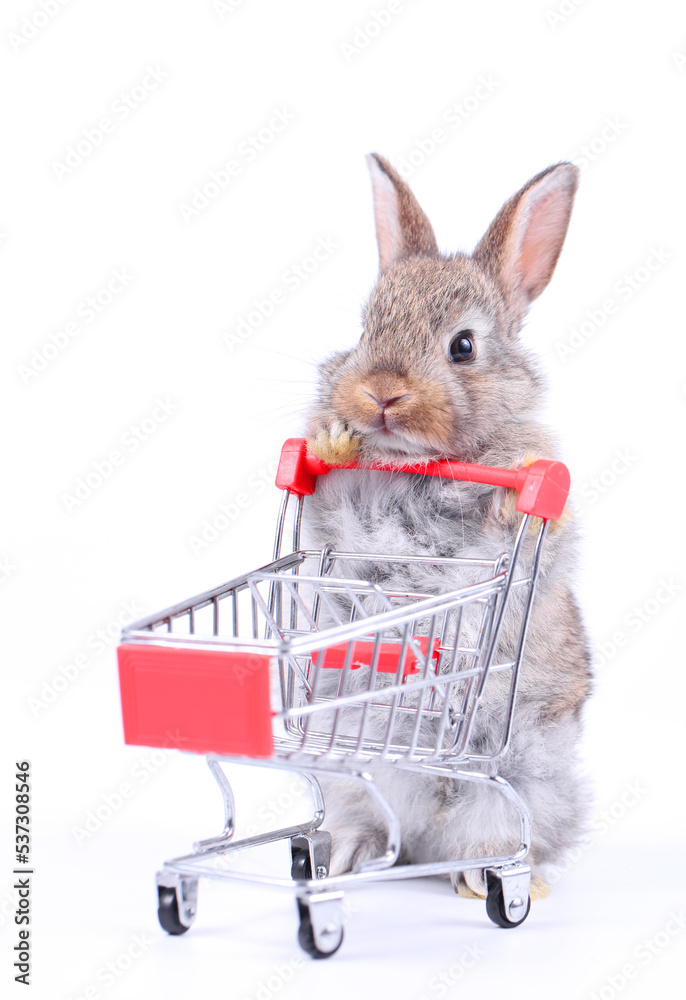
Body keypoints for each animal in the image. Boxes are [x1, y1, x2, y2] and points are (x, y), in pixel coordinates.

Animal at [301, 154, 592, 900]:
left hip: (520, 770)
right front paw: (332, 436)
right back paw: (346, 855)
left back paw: (485, 876)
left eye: (463, 346)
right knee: (368, 822)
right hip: (342, 759)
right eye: (367, 328)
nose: (380, 393)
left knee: (502, 832)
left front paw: (513, 497)